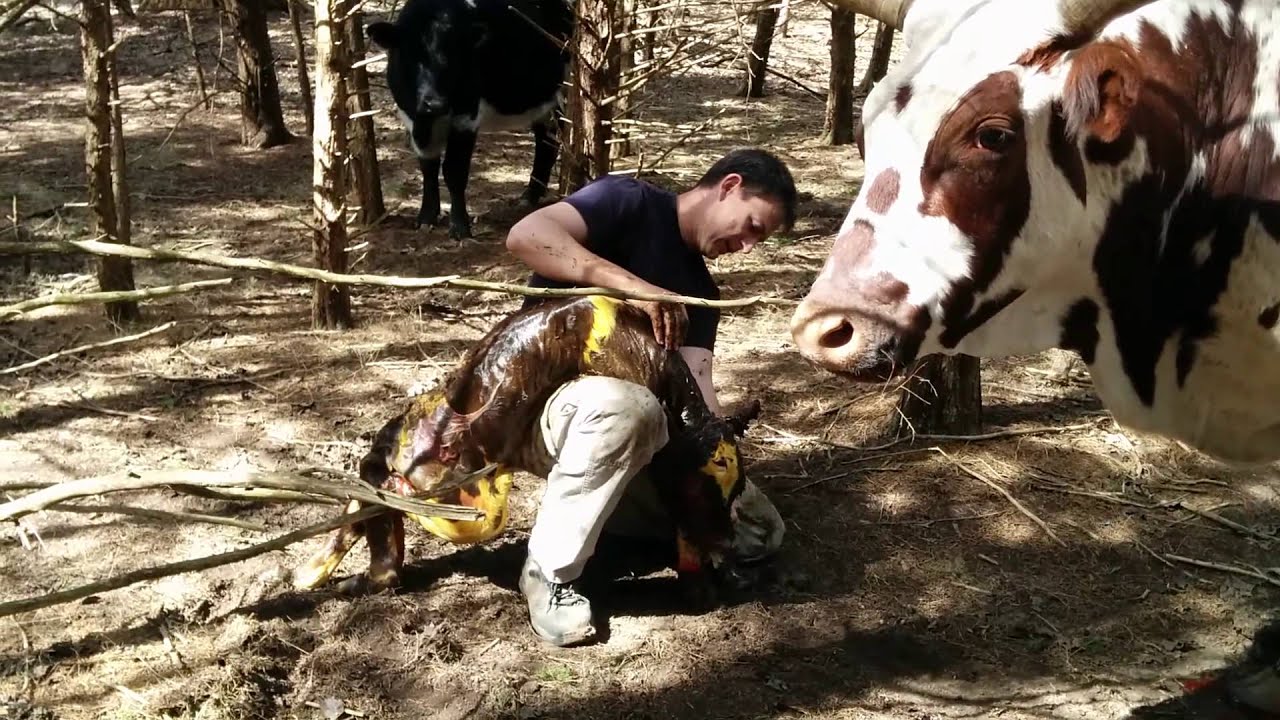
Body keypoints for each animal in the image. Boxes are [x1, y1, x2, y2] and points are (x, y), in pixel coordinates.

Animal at [293, 295, 765, 609]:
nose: (727, 541)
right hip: (447, 483)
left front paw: (708, 580)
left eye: (736, 491)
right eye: (703, 490)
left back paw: (314, 573)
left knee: (372, 497)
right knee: (383, 502)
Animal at [365, 0, 573, 239]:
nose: (435, 103)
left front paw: (459, 226)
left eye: (456, 57)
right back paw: (530, 195)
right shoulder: (410, 117)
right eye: (411, 53)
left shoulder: (466, 116)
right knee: (547, 141)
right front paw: (426, 217)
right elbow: (428, 166)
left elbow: (454, 170)